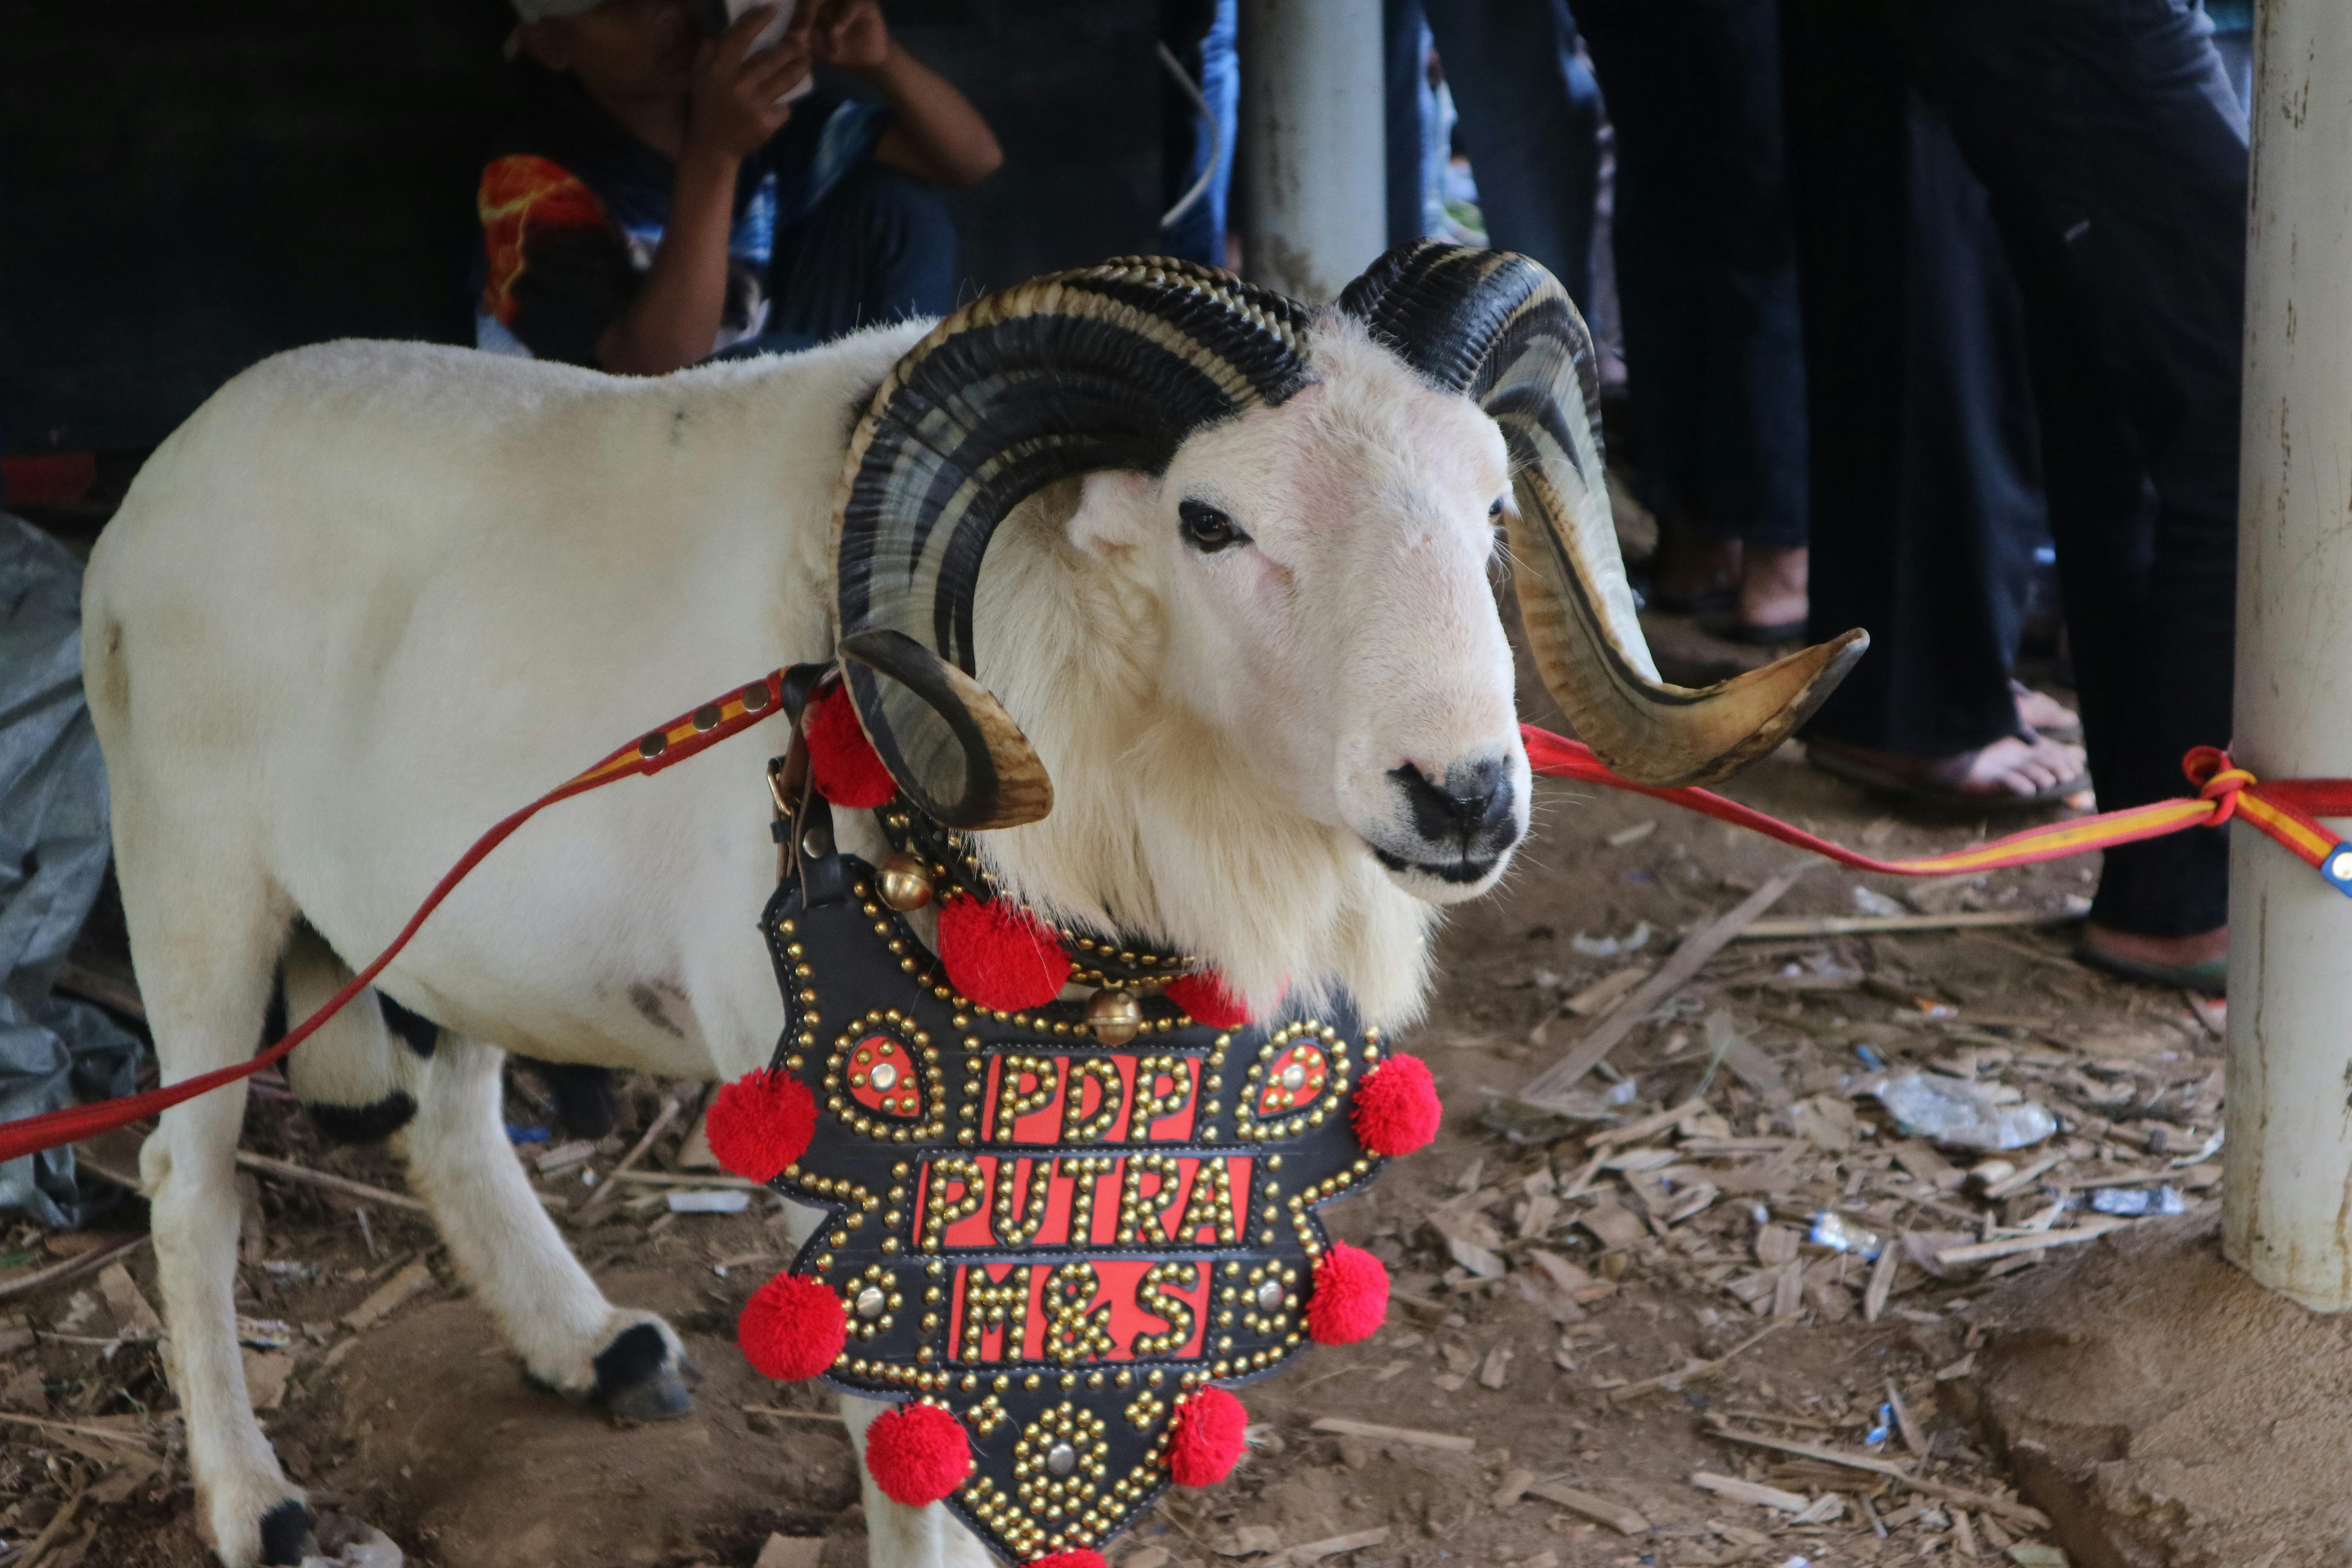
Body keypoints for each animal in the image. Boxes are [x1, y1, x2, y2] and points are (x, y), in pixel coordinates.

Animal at [81, 242, 1858, 1567]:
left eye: (1495, 507)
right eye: (1214, 522)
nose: (1467, 794)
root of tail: (164, 471)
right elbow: (917, 1446)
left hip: (433, 924)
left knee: (451, 1118)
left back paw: (598, 1351)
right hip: (193, 884)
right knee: (187, 1181)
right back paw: (264, 1509)